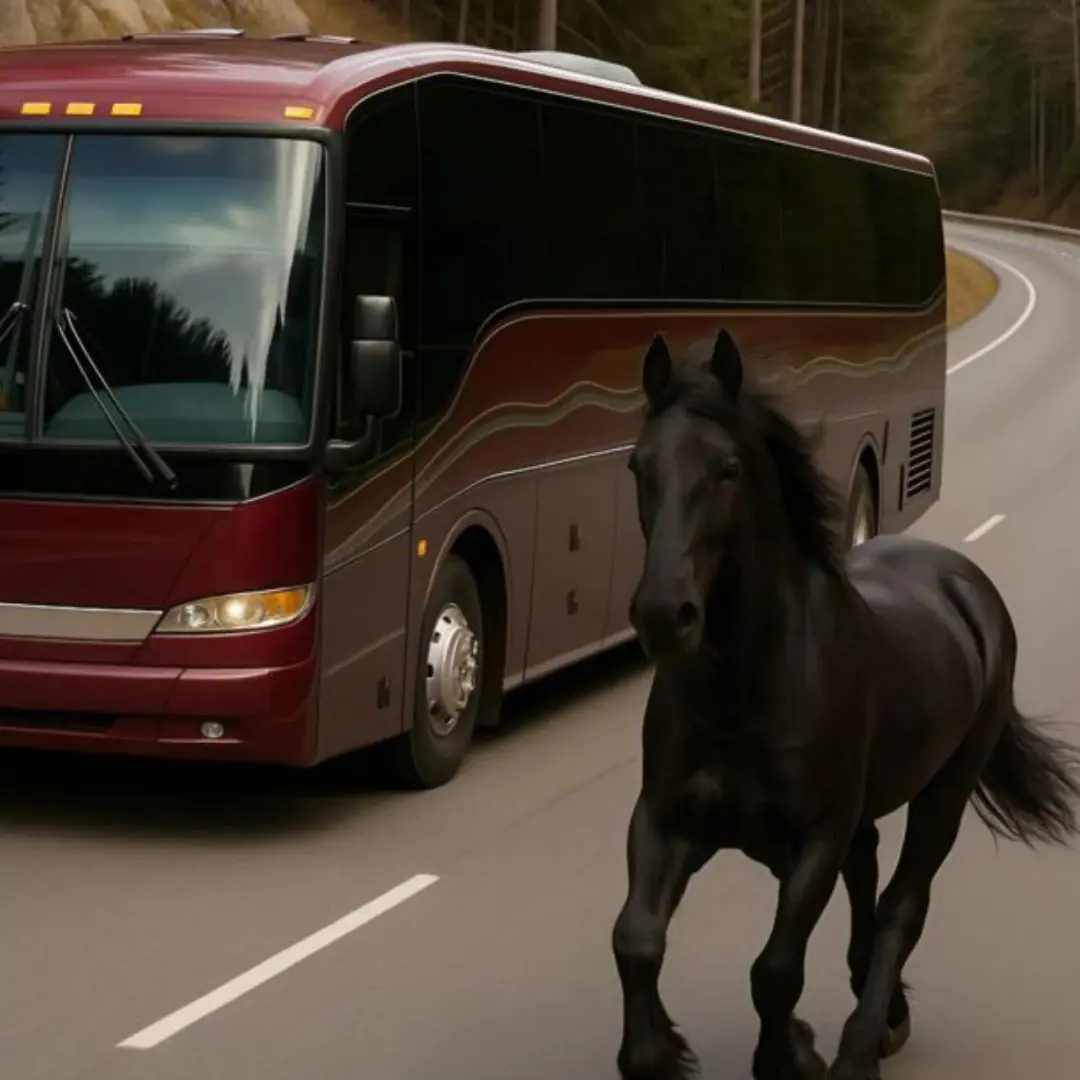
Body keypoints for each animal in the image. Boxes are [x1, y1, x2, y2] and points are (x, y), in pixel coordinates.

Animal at [611, 328, 1080, 1080]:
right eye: (638, 466)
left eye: (728, 468)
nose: (662, 613)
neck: (749, 686)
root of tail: (964, 582)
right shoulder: (665, 819)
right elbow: (636, 939)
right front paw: (656, 1055)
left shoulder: (815, 839)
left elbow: (775, 970)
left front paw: (793, 1056)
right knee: (870, 882)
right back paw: (883, 1013)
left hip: (947, 790)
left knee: (901, 905)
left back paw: (862, 1045)